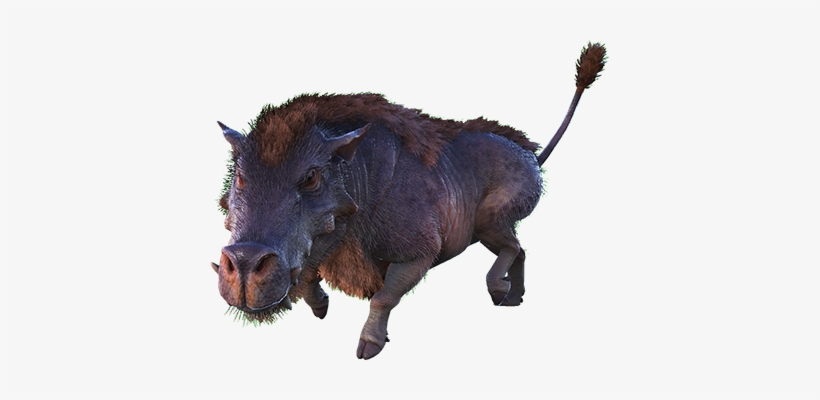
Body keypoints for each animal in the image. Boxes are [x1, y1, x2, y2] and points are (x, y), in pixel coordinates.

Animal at [211, 43, 606, 359]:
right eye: (240, 175)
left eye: (311, 177)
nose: (244, 266)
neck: (355, 171)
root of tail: (532, 157)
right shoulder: (323, 249)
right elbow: (308, 275)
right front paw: (321, 308)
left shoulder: (418, 253)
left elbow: (384, 297)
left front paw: (368, 348)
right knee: (518, 247)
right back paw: (514, 298)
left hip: (491, 218)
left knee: (509, 244)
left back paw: (498, 290)